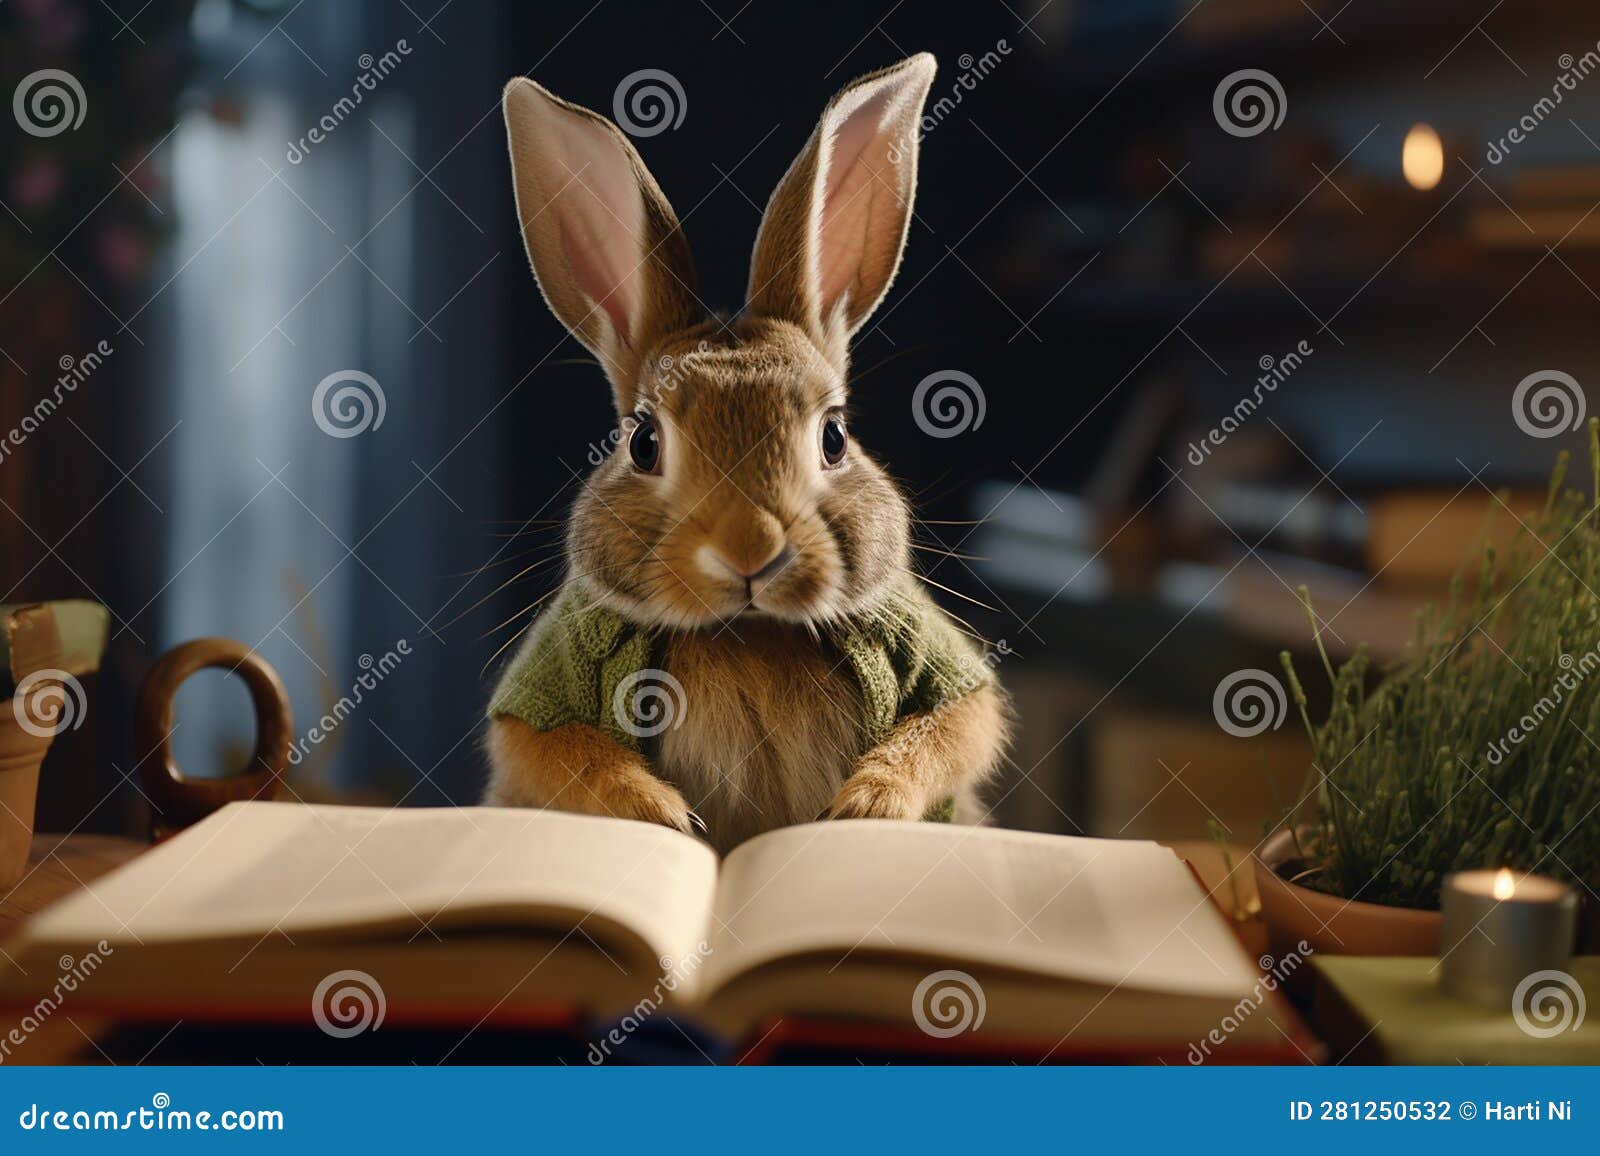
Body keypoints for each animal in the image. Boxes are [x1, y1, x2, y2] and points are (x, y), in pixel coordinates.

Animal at [484, 54, 1011, 853]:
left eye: (833, 436)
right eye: (644, 441)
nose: (750, 547)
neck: (748, 629)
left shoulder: (926, 651)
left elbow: (960, 724)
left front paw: (866, 804)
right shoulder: (553, 675)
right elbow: (551, 748)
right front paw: (660, 814)